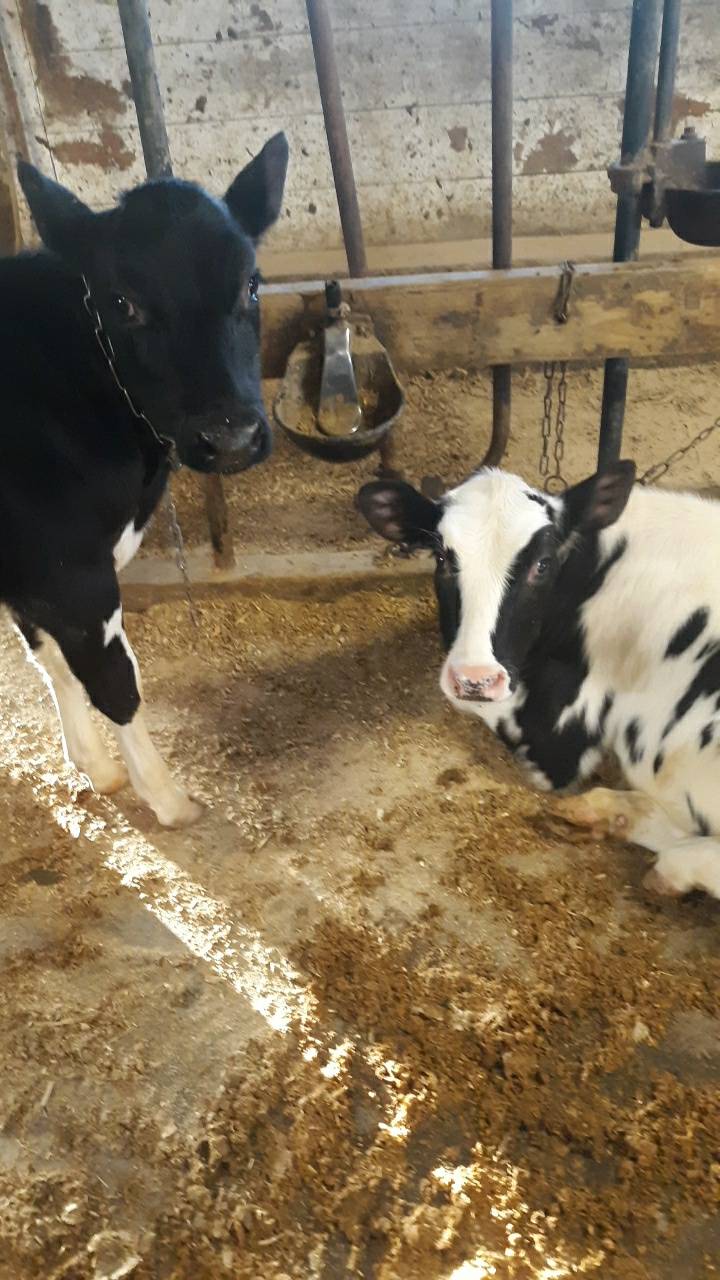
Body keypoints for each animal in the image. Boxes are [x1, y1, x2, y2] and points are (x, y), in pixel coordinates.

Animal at [0, 134, 288, 827]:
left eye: (252, 284)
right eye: (121, 302)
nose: (231, 435)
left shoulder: (32, 578)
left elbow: (50, 662)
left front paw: (96, 766)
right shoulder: (69, 574)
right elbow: (113, 681)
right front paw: (166, 797)